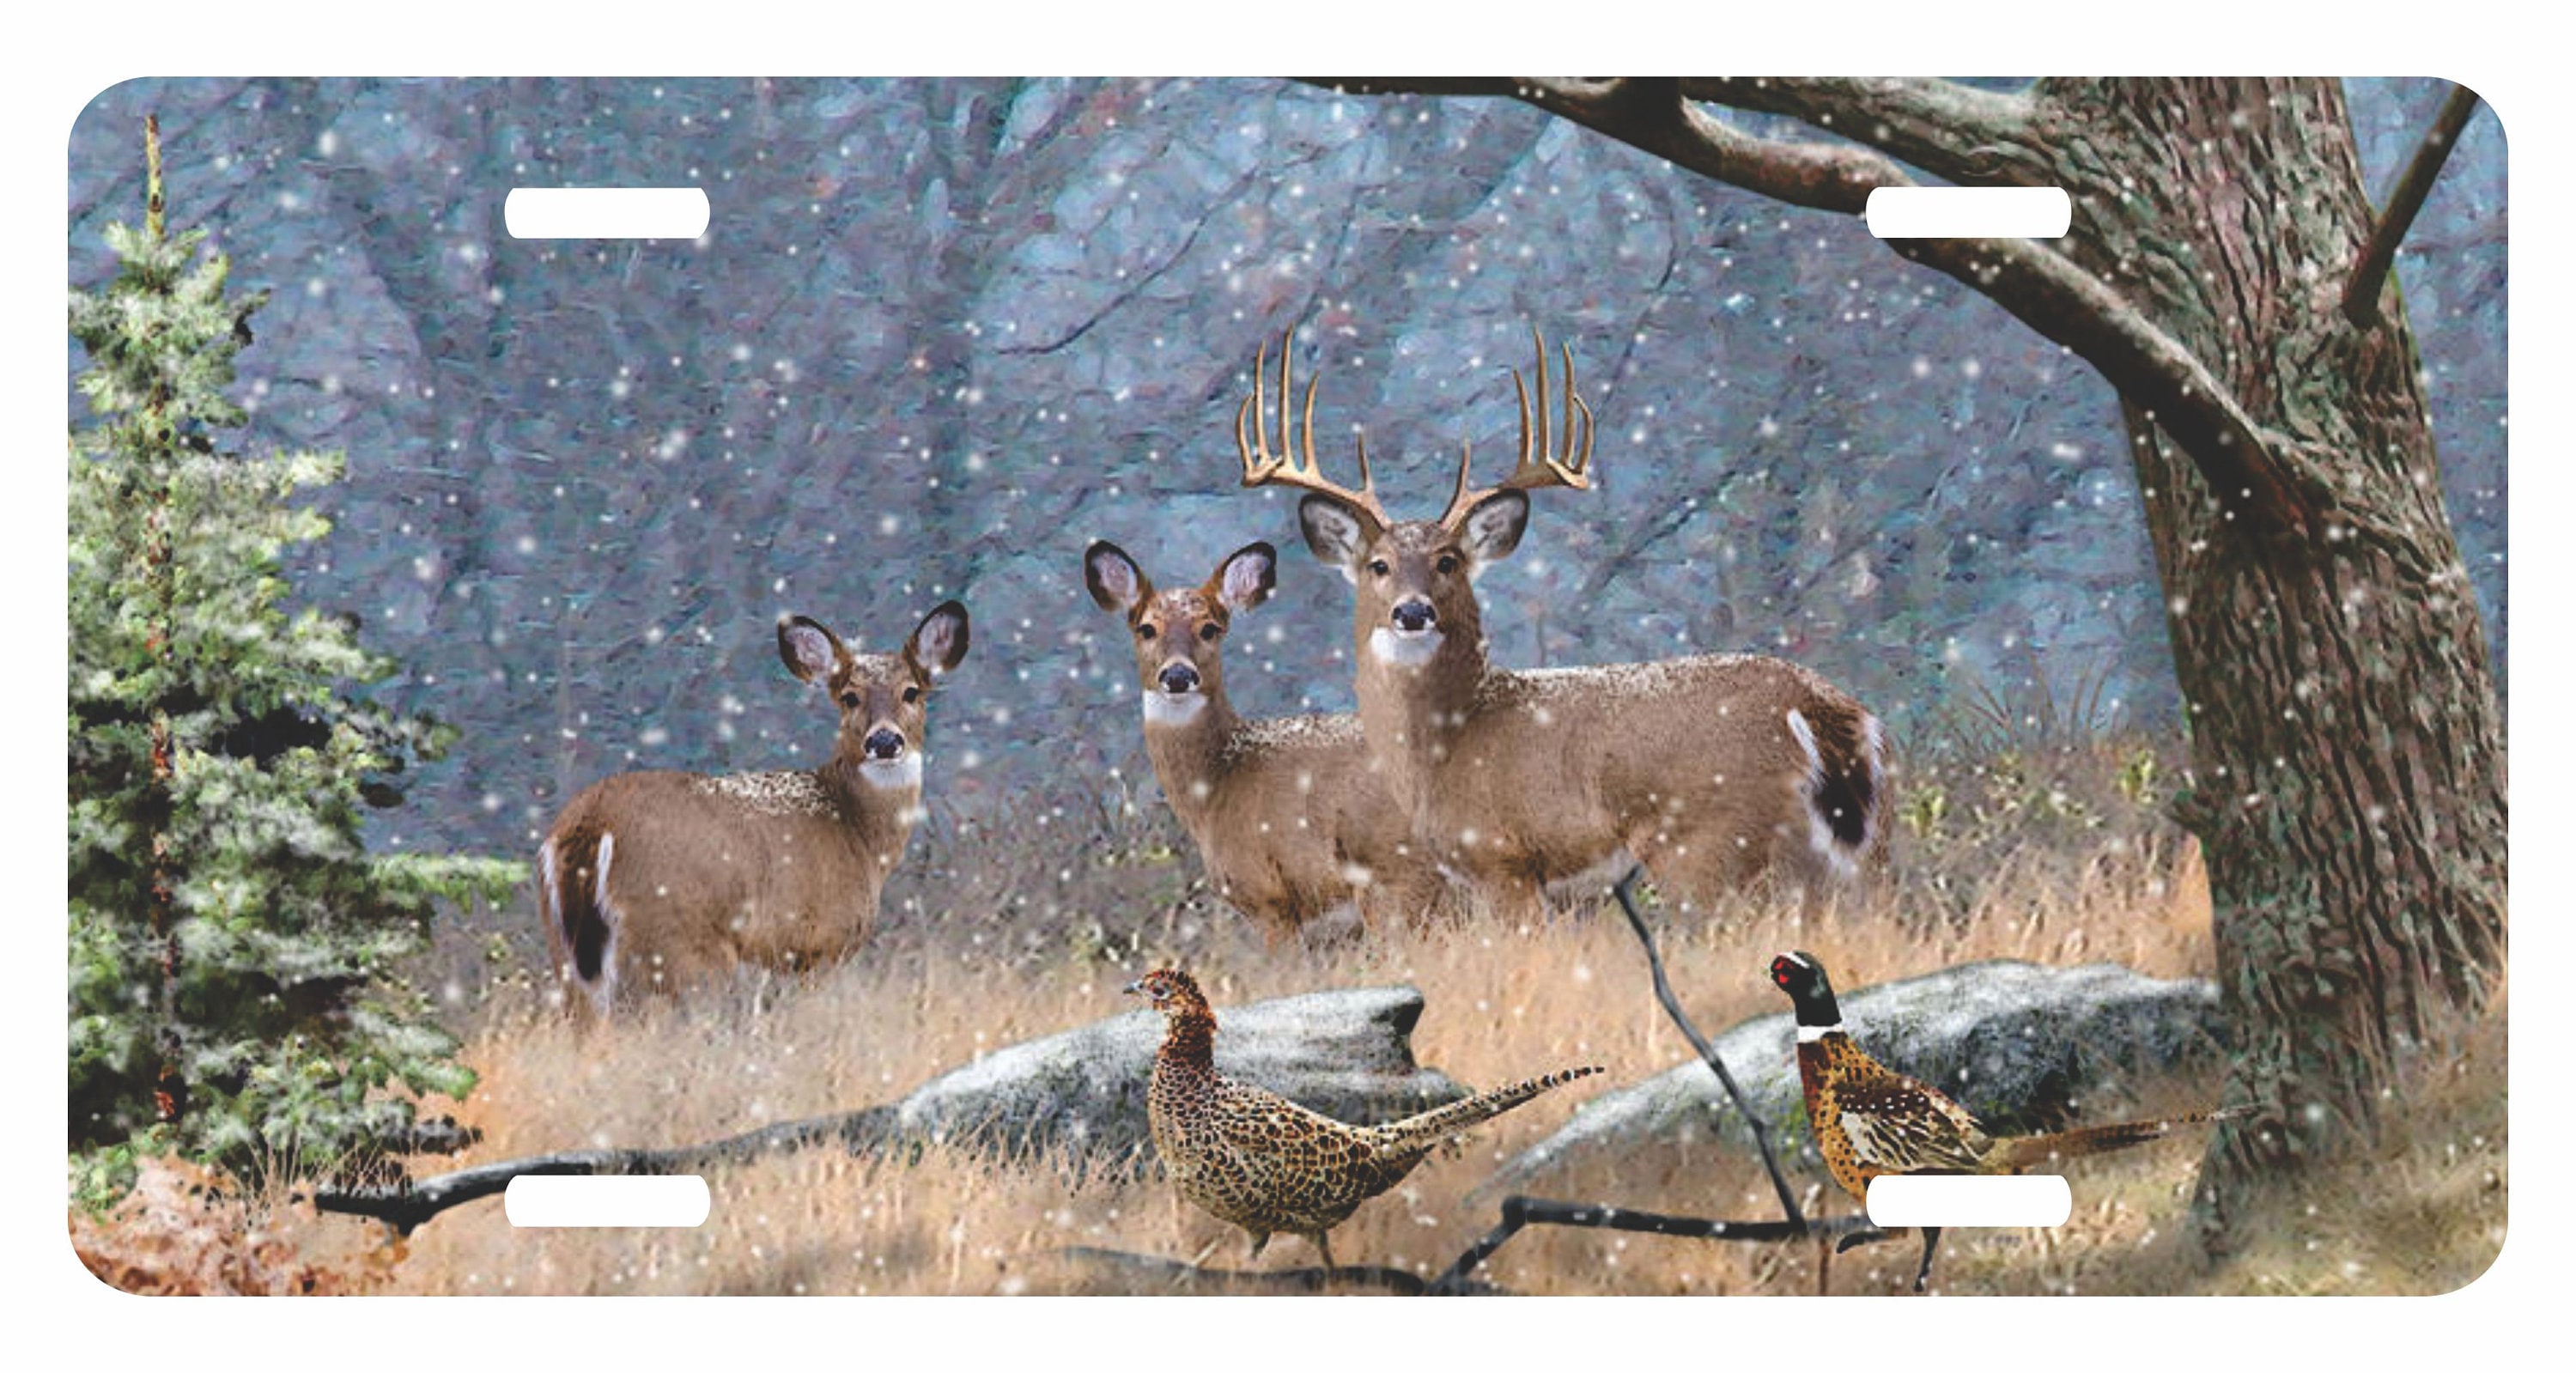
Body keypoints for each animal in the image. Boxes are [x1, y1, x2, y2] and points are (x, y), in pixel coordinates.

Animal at [537, 601, 970, 1013]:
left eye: (911, 691)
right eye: (850, 696)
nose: (884, 741)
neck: (858, 836)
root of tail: (591, 826)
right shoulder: (821, 942)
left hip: (566, 953)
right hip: (681, 945)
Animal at [1084, 538, 1455, 942]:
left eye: (1209, 628)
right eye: (1147, 628)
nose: (1178, 675)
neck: (1216, 789)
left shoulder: (1265, 896)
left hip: (1391, 872)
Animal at [1235, 331, 1889, 923]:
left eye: (1449, 561)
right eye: (1379, 565)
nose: (1412, 612)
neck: (1445, 745)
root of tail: (1816, 707)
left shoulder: (1503, 857)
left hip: (1710, 840)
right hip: (1844, 842)